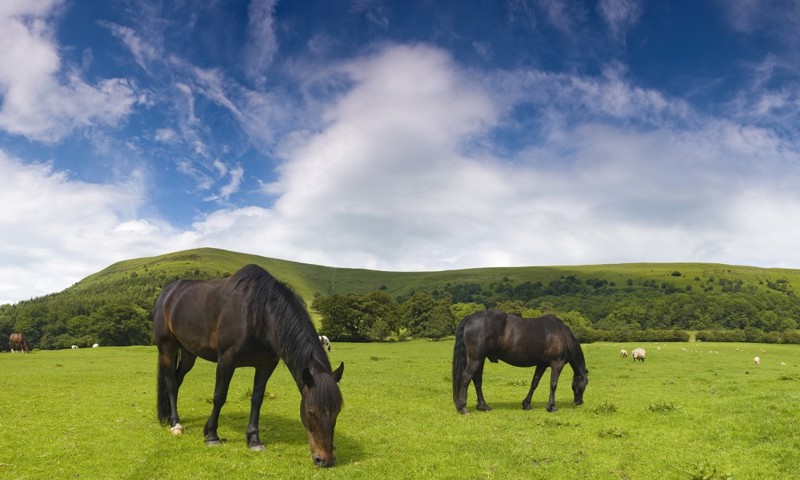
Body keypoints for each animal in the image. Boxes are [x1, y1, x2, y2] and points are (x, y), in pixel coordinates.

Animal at [154, 264, 344, 468]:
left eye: (337, 411)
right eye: (311, 411)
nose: (325, 460)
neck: (259, 315)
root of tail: (168, 293)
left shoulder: (266, 365)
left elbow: (257, 399)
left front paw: (254, 440)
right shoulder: (226, 361)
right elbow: (219, 397)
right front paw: (212, 435)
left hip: (189, 354)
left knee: (177, 380)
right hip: (168, 348)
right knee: (171, 384)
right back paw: (175, 424)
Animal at [452, 311, 588, 414]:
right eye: (586, 383)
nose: (579, 402)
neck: (562, 333)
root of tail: (470, 317)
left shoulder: (542, 364)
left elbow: (535, 383)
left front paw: (526, 404)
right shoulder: (557, 363)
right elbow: (553, 384)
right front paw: (551, 406)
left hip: (480, 359)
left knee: (477, 380)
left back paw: (483, 406)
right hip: (476, 359)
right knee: (466, 378)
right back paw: (463, 407)